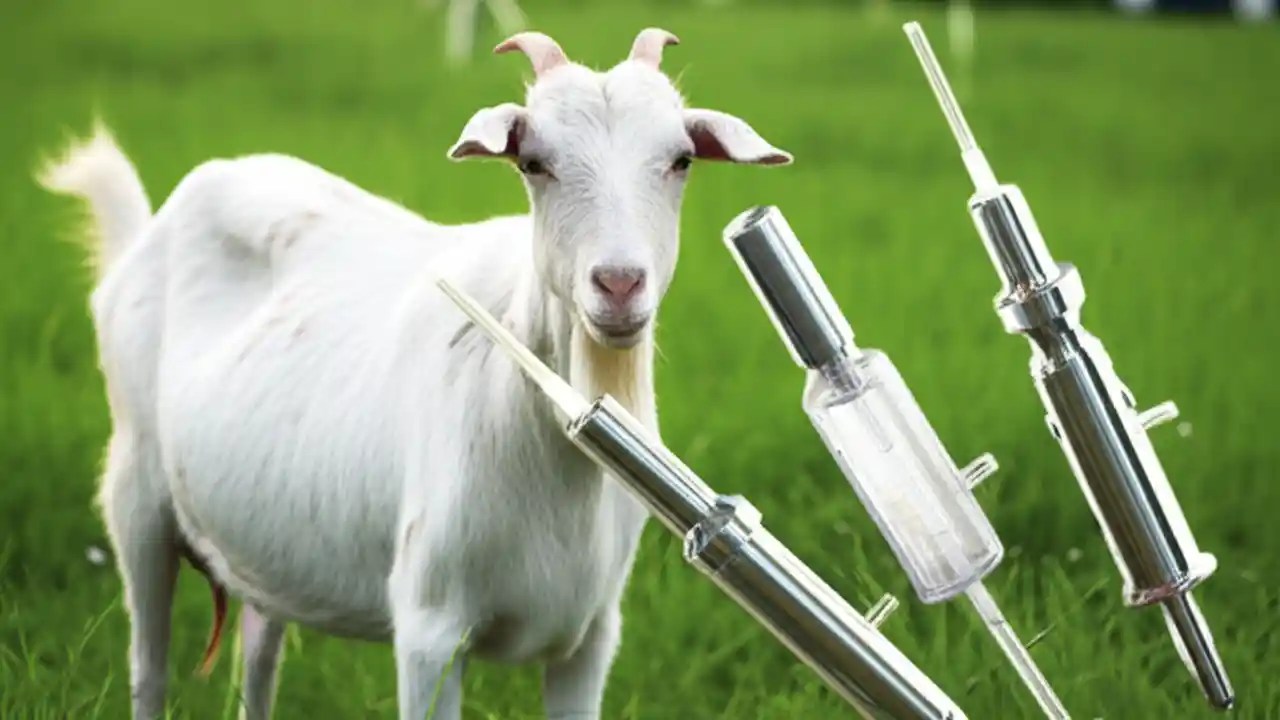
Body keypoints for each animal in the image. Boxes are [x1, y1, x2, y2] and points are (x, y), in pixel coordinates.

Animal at [41, 29, 790, 720]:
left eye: (681, 160)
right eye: (533, 161)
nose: (619, 284)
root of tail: (148, 233)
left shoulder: (590, 637)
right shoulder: (431, 629)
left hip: (261, 545)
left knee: (258, 660)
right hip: (136, 493)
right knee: (149, 666)